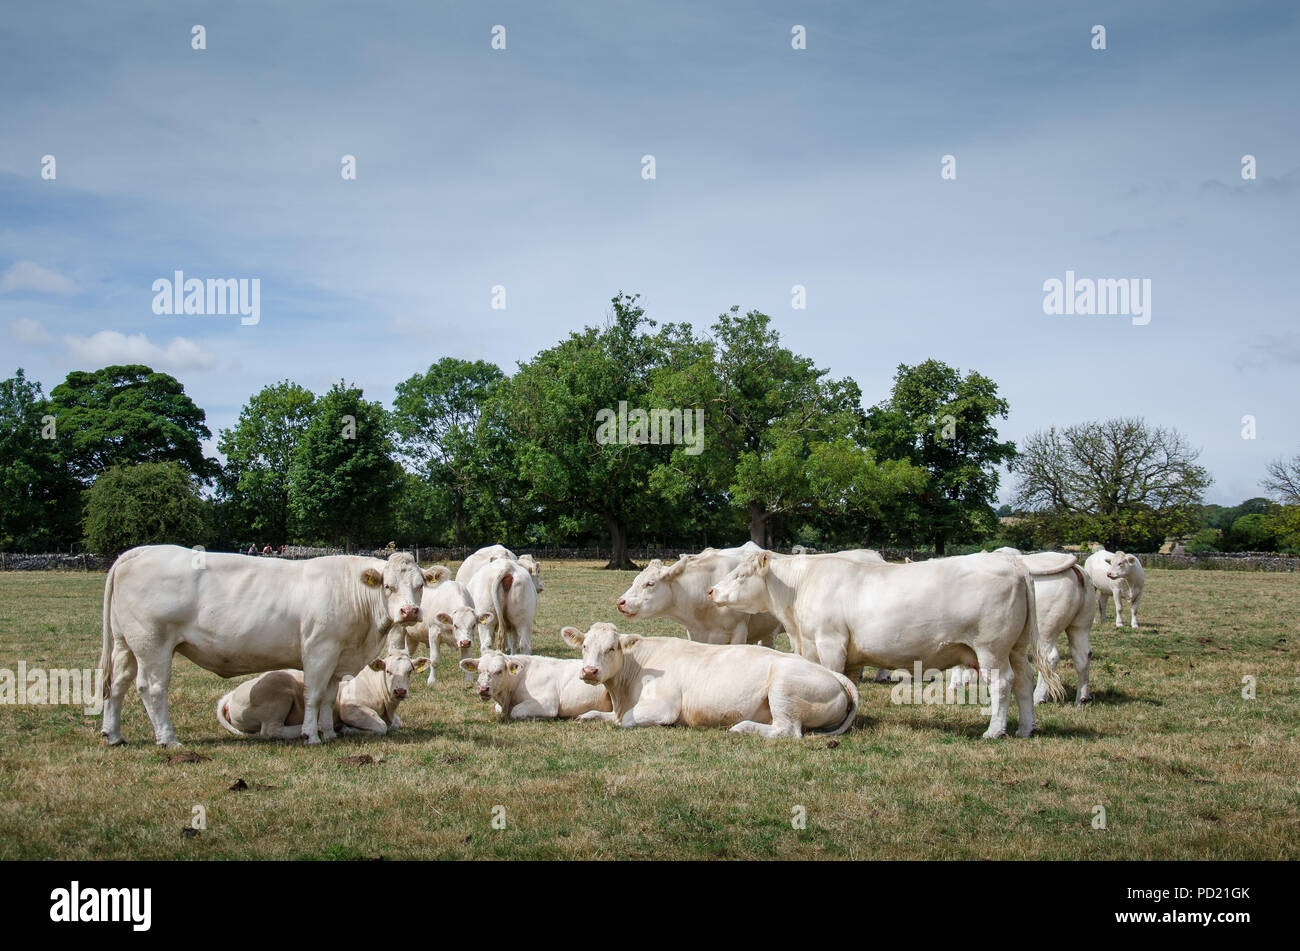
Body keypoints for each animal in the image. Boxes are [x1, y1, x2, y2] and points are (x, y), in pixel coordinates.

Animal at [215, 648, 427, 738]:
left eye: (409, 671)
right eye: (388, 671)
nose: (400, 691)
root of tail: (230, 695)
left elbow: (396, 723)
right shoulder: (350, 708)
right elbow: (381, 727)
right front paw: (346, 729)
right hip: (279, 695)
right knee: (271, 730)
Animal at [560, 622, 858, 738]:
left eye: (612, 648)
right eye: (584, 646)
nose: (589, 671)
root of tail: (834, 674)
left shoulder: (663, 707)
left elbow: (625, 721)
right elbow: (604, 715)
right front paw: (587, 716)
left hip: (783, 688)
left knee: (787, 730)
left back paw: (741, 727)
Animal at [708, 550, 1063, 738]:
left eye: (740, 575)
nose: (711, 591)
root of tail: (1011, 560)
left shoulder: (829, 642)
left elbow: (836, 676)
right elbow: (849, 683)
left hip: (991, 647)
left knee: (1002, 684)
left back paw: (994, 731)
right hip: (1015, 647)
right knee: (1024, 681)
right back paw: (1025, 728)